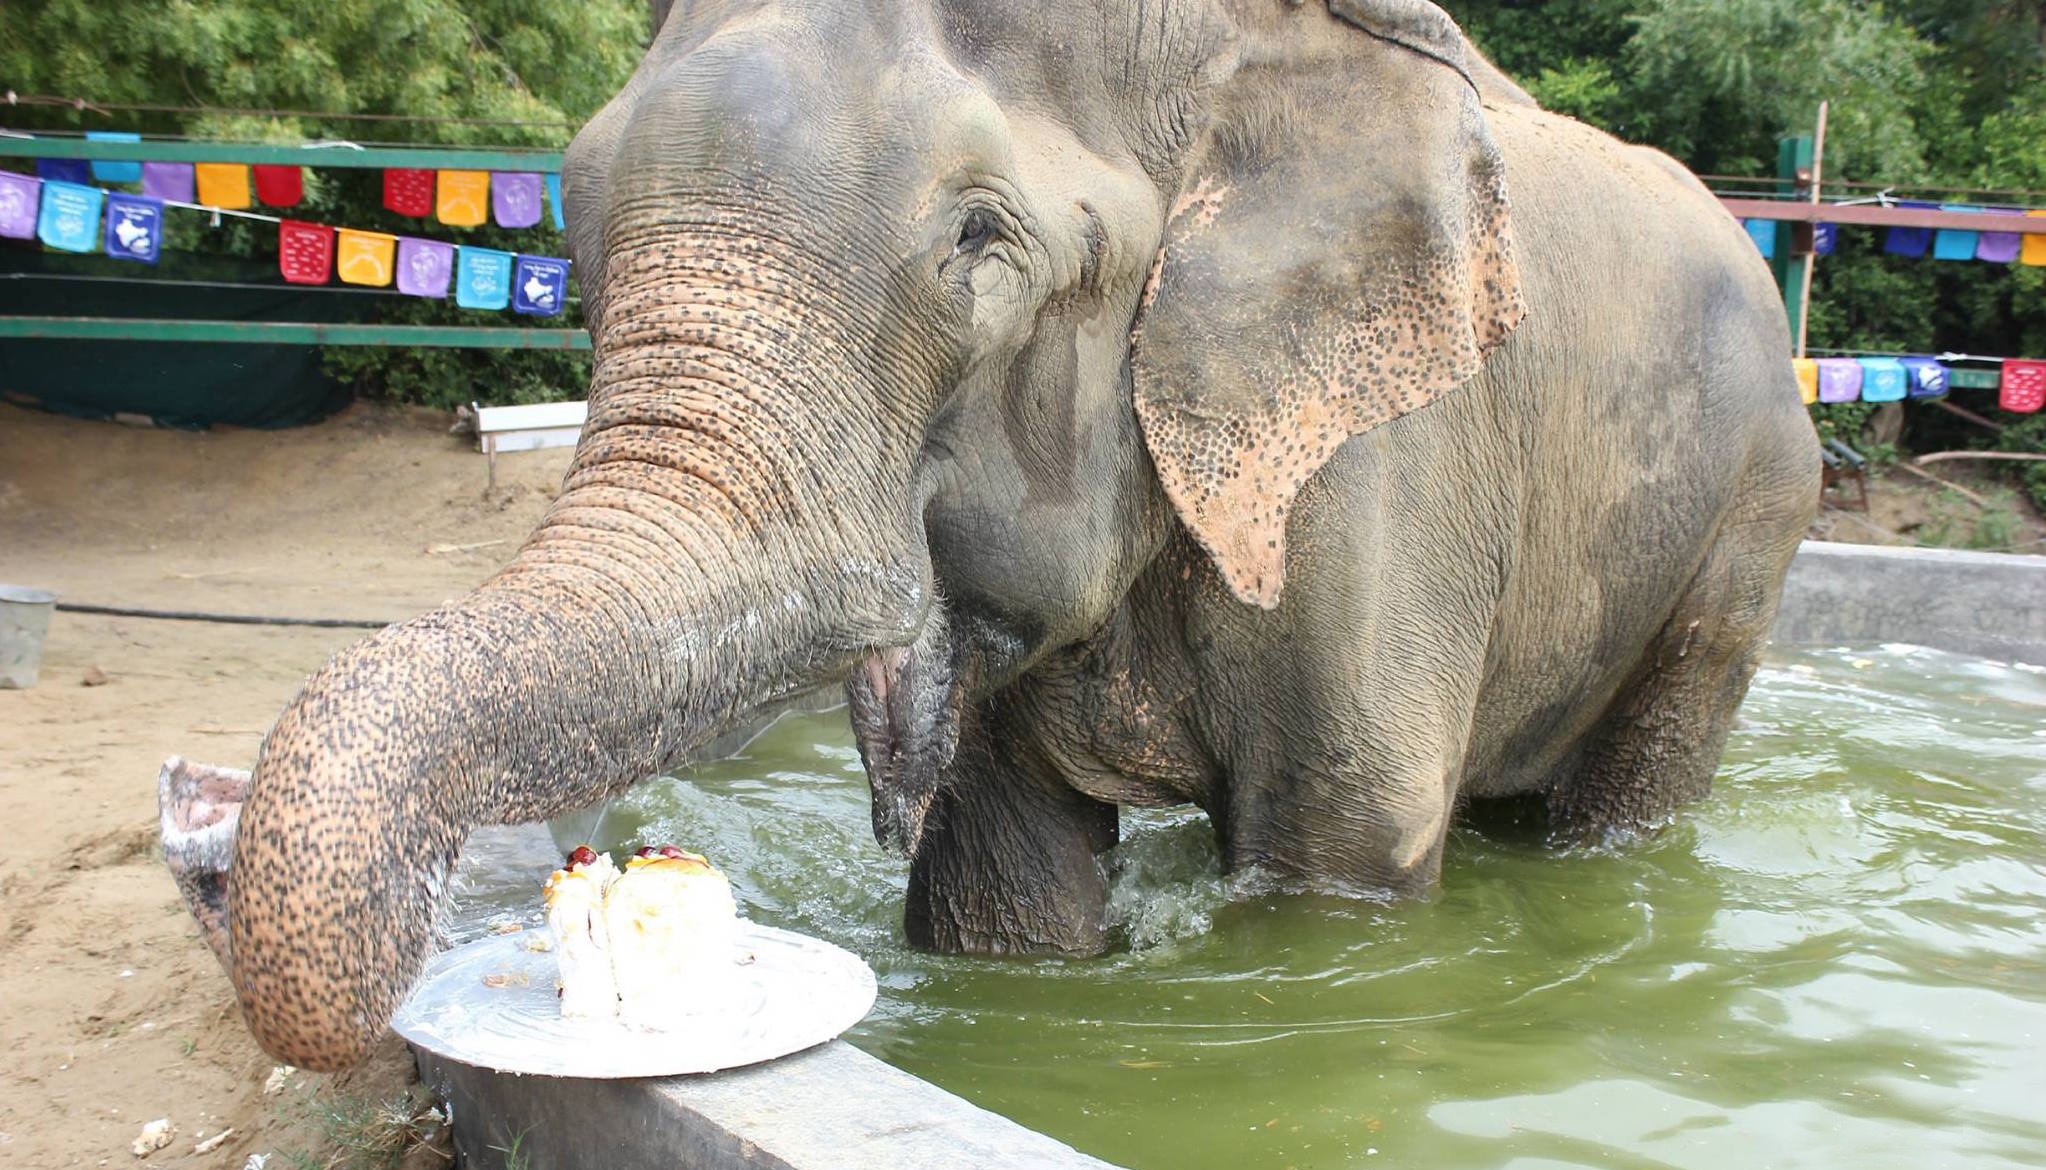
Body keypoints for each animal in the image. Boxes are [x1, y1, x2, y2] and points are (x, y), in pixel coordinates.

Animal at [159, 0, 1819, 1071]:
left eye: (977, 240)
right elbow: (1005, 894)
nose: (200, 835)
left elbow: (1335, 867)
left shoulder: (1377, 474)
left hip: (1751, 518)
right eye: (571, 213)